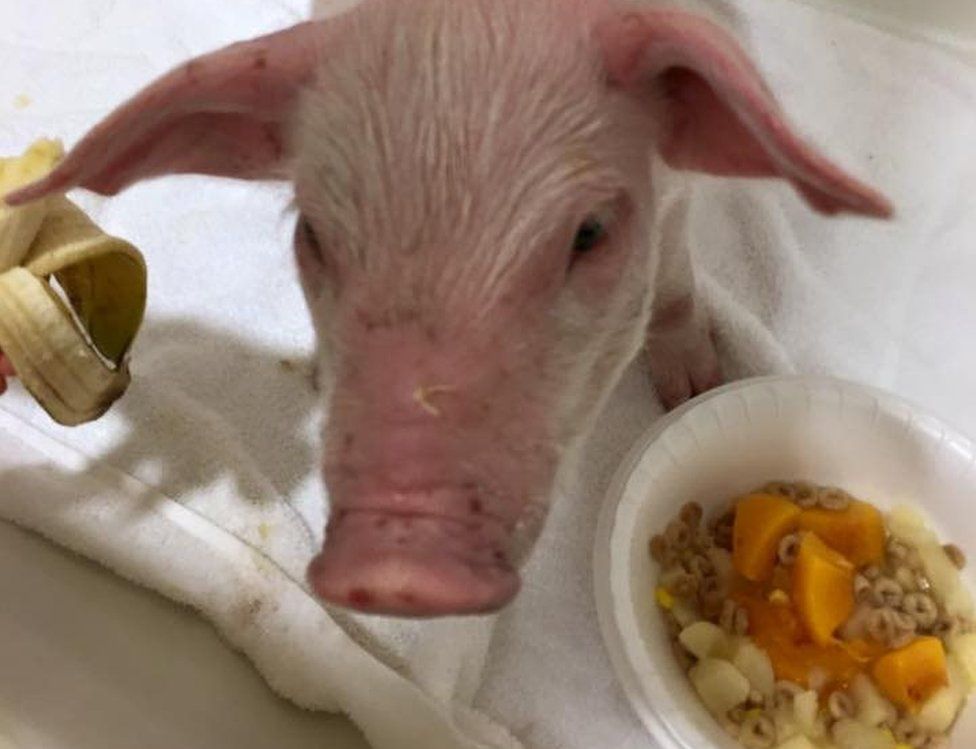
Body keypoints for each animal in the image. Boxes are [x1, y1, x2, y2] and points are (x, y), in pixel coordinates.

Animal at [5, 0, 891, 618]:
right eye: (312, 232)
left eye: (591, 233)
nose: (398, 568)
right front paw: (318, 374)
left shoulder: (675, 197)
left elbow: (673, 283)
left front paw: (693, 391)